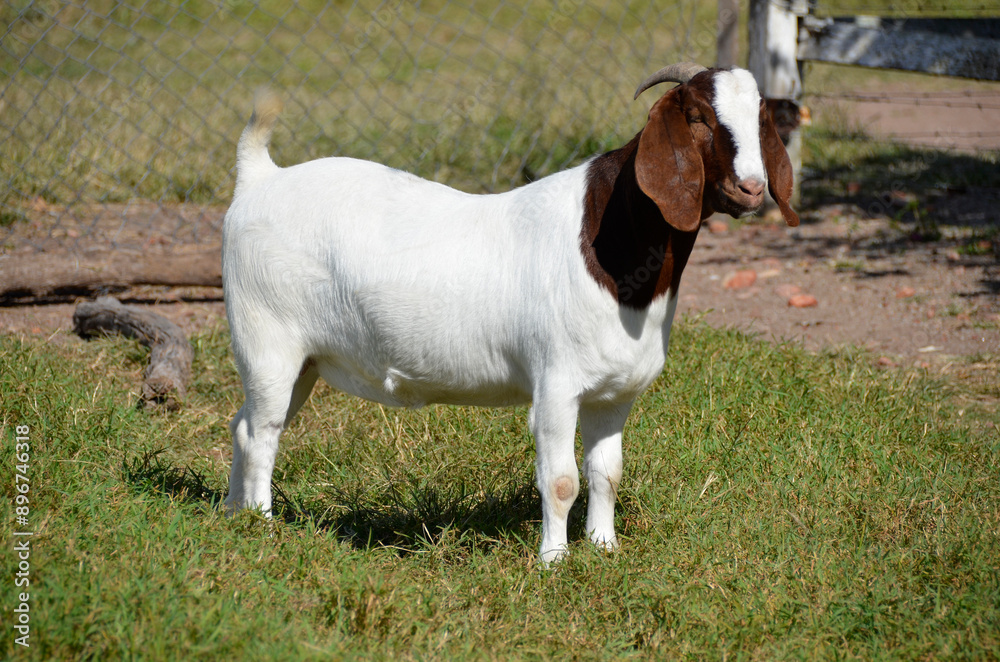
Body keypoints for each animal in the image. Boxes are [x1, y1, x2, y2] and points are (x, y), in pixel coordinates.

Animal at [222, 63, 799, 564]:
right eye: (698, 116)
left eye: (760, 117)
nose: (751, 189)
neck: (612, 248)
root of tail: (259, 179)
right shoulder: (556, 384)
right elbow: (561, 479)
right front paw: (554, 561)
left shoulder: (615, 393)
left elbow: (606, 473)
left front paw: (604, 548)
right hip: (268, 340)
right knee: (262, 432)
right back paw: (263, 526)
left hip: (305, 362)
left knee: (243, 423)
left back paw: (232, 515)